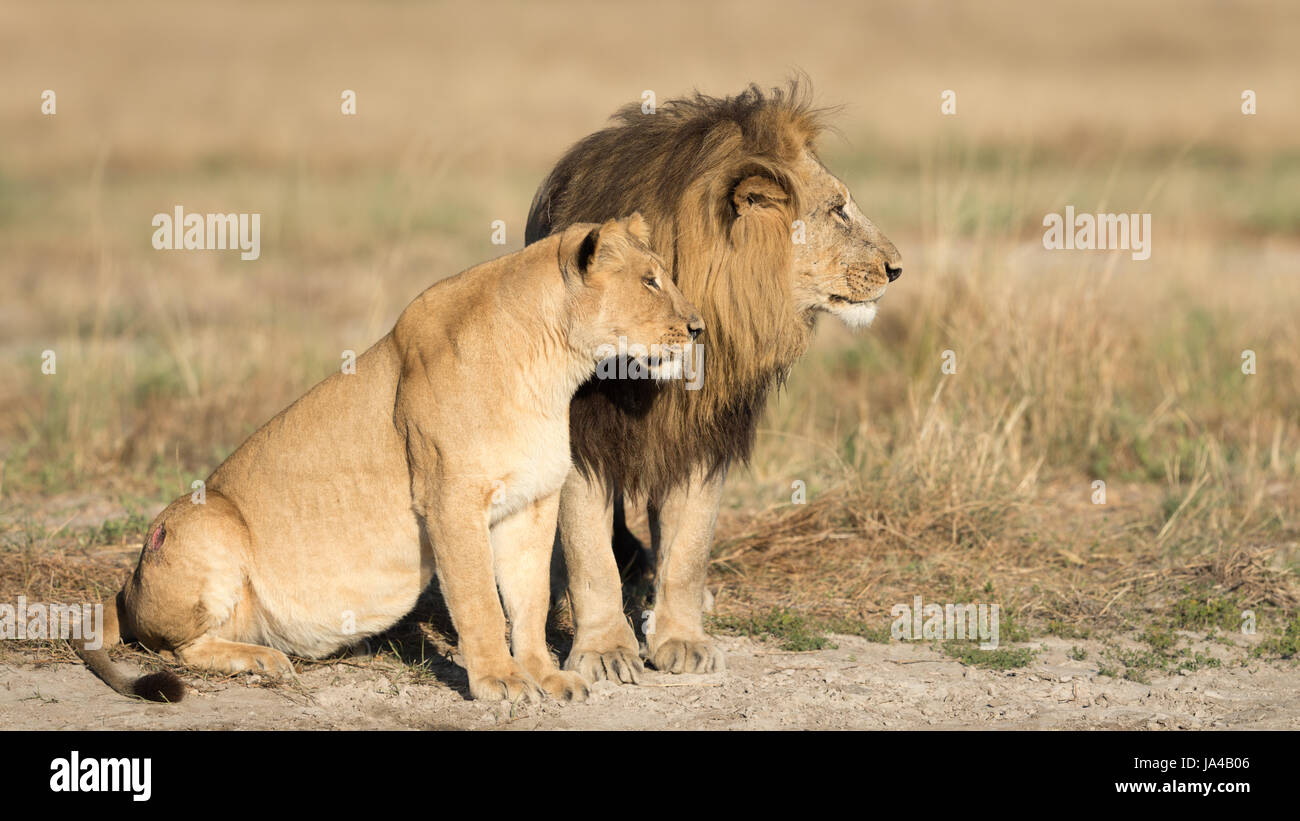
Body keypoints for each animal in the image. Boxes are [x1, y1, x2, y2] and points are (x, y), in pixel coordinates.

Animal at [76, 214, 707, 701]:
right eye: (651, 282)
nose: (699, 328)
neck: (553, 368)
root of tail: (126, 586)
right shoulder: (450, 499)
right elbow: (480, 602)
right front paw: (499, 682)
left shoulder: (531, 503)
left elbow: (528, 603)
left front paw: (545, 677)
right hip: (207, 521)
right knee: (176, 647)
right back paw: (262, 660)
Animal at [527, 78, 904, 680]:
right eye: (838, 210)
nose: (897, 268)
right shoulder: (582, 434)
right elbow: (590, 553)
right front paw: (605, 650)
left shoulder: (703, 434)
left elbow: (688, 549)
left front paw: (681, 639)